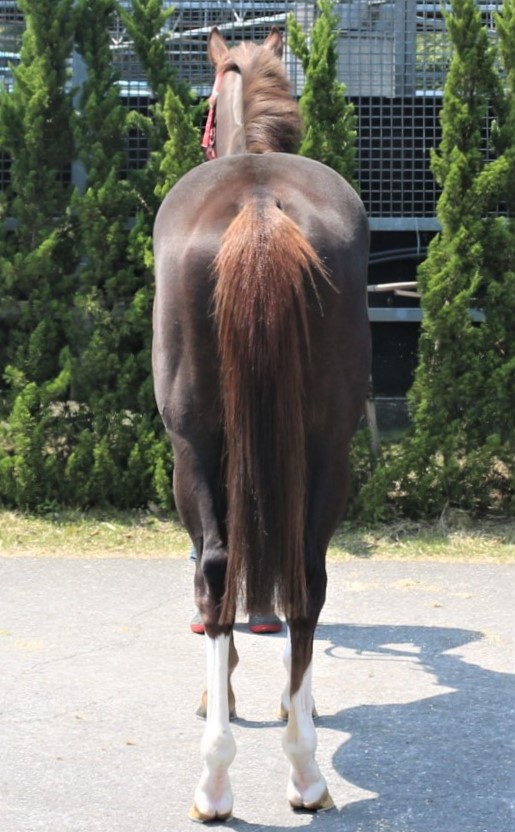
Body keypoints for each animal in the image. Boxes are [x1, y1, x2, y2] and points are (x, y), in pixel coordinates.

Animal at [152, 26, 371, 822]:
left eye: (207, 106)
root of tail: (257, 202)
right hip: (329, 448)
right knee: (306, 576)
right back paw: (305, 771)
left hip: (192, 447)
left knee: (216, 571)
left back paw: (215, 781)